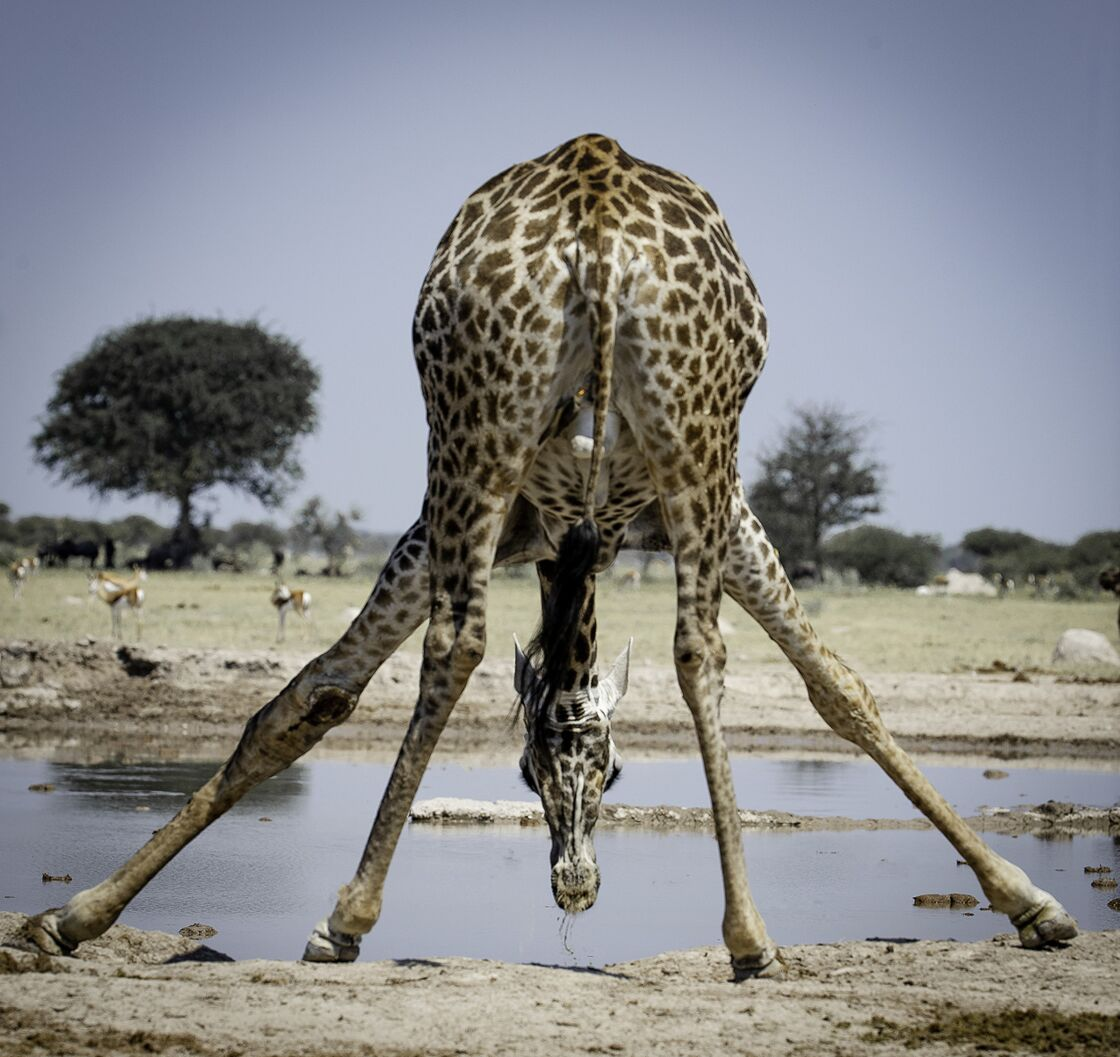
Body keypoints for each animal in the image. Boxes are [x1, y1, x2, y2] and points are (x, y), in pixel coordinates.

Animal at [27, 135, 1076, 978]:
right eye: (532, 775)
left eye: (611, 774)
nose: (575, 887)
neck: (578, 542)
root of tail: (597, 217)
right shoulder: (635, 521)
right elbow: (309, 697)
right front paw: (72, 918)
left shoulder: (598, 521)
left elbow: (841, 690)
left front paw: (1033, 905)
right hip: (654, 442)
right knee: (671, 649)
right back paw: (740, 936)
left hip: (497, 443)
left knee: (479, 643)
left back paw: (355, 917)